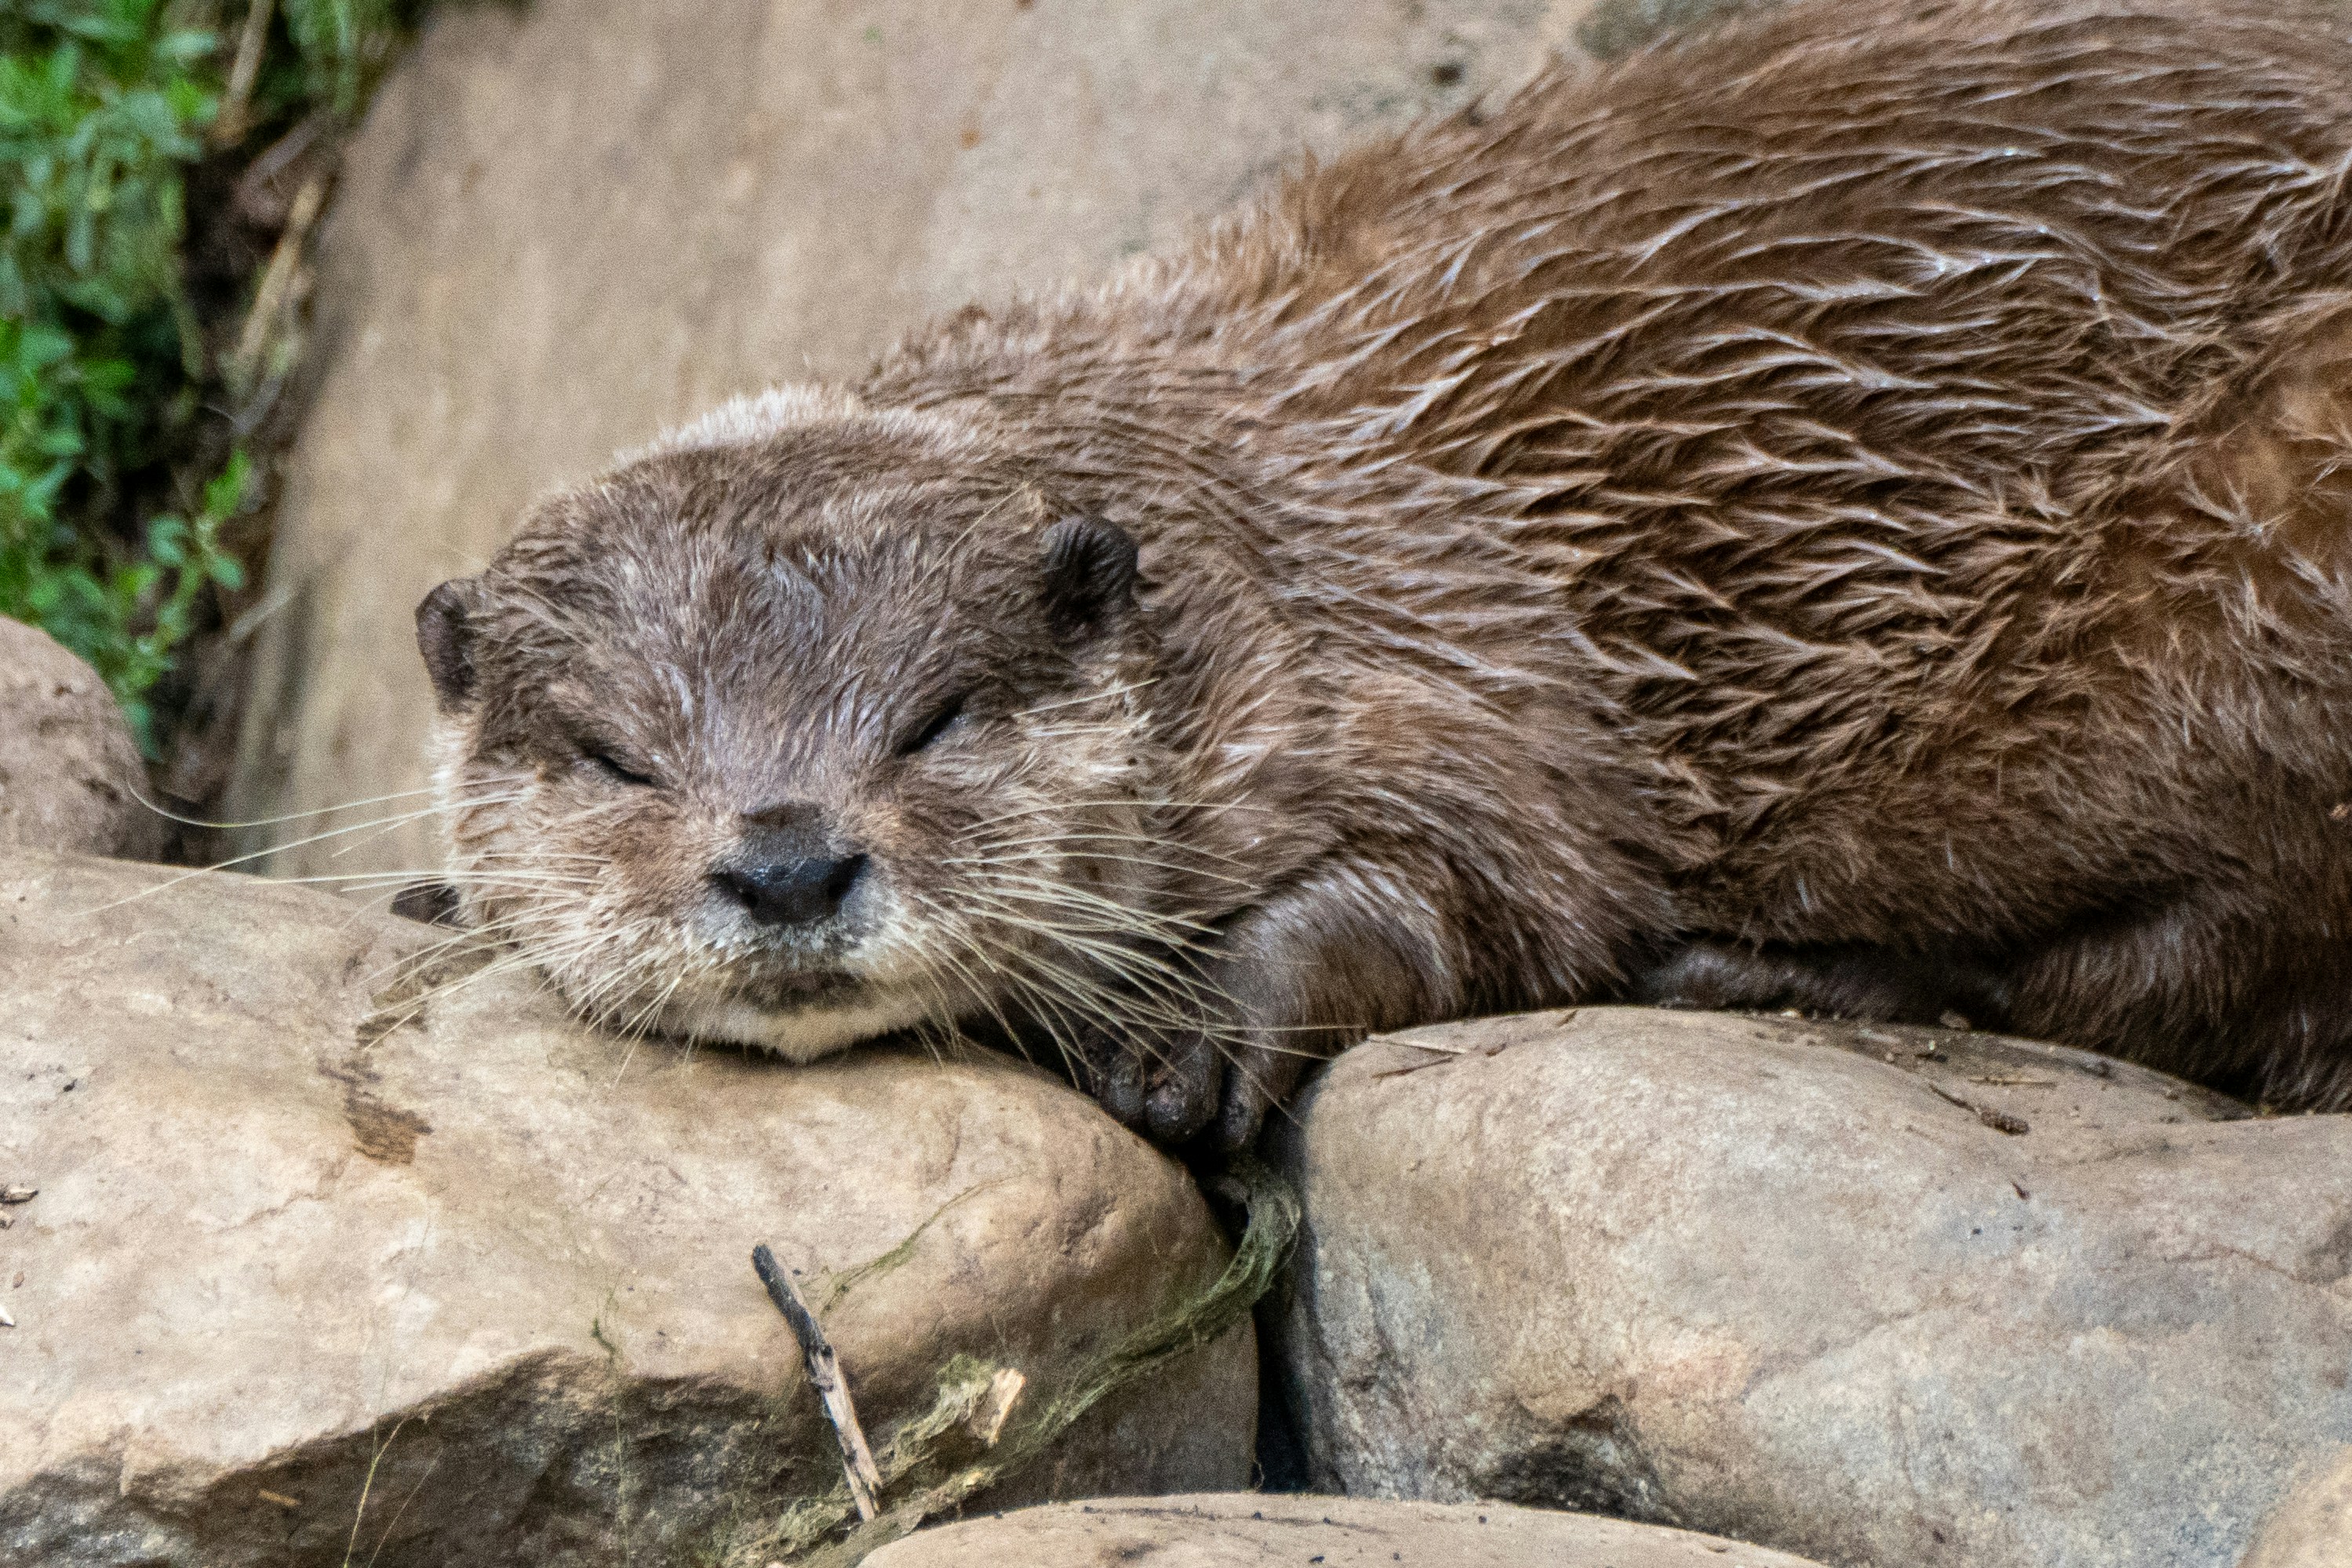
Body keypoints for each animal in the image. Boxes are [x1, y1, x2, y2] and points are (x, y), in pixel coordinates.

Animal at [415, 0, 2352, 1149]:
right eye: (615, 756)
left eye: (936, 718)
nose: (786, 864)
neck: (1255, 521)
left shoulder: (1450, 659)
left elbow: (1478, 888)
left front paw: (1195, 1032)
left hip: (2256, 558)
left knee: (2184, 965)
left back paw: (1750, 969)